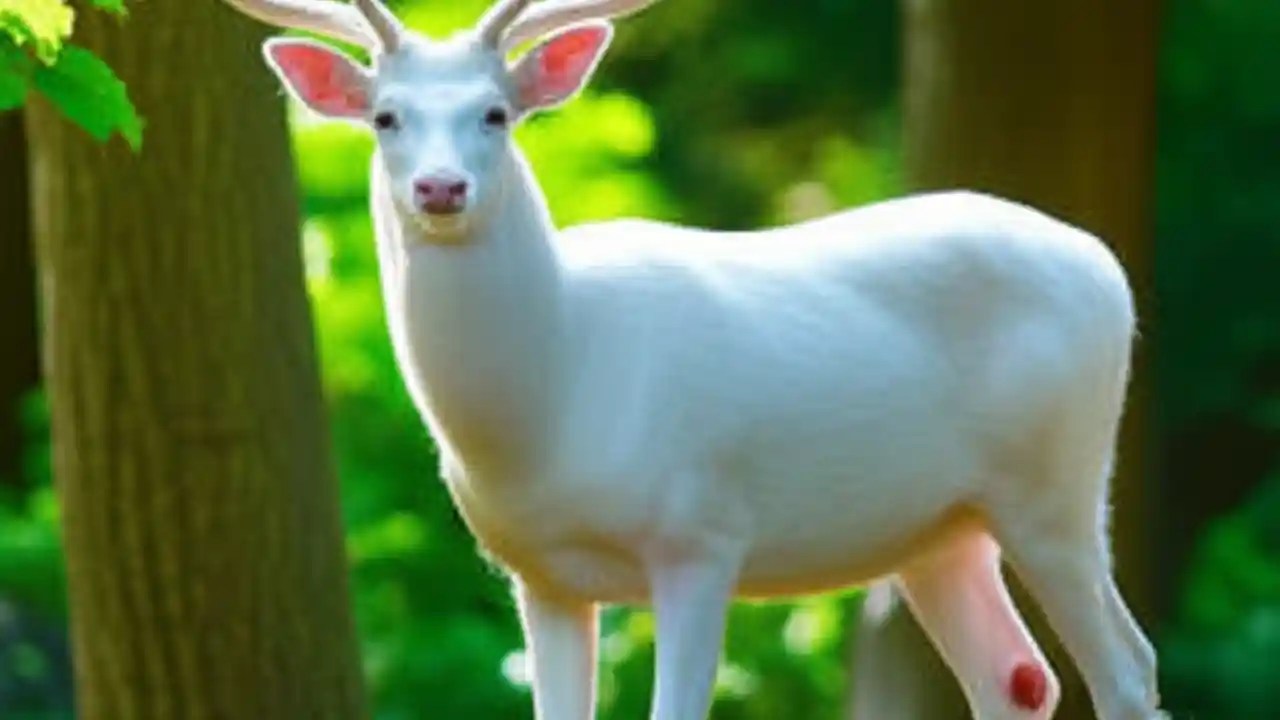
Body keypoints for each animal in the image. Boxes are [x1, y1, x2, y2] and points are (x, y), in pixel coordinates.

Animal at [219, 1, 1165, 718]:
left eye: (496, 111)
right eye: (386, 117)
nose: (441, 188)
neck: (560, 392)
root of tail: (1109, 270)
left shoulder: (702, 534)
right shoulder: (541, 576)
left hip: (1056, 486)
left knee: (1128, 665)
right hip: (938, 532)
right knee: (1015, 679)